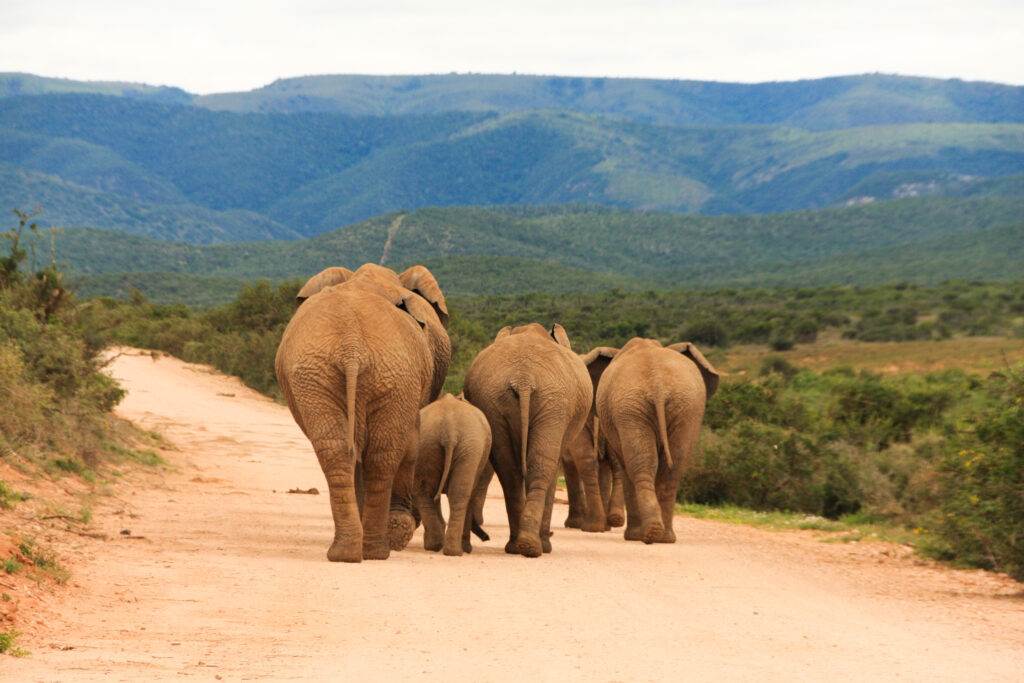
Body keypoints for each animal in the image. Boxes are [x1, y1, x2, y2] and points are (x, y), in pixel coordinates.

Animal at [275, 263, 450, 562]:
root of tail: (352, 348)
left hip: (332, 377)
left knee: (348, 450)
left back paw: (355, 551)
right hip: (345, 374)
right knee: (377, 452)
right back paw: (372, 547)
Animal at [414, 393, 492, 556]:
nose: (486, 538)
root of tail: (449, 431)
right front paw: (467, 548)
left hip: (427, 444)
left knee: (426, 493)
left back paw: (438, 547)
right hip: (468, 447)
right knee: (459, 495)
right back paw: (454, 550)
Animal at [463, 323, 592, 557]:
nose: (485, 538)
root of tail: (523, 378)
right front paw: (546, 545)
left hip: (497, 400)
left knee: (509, 470)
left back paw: (518, 546)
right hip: (553, 403)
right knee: (540, 467)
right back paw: (533, 547)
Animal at [594, 339, 719, 544]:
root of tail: (657, 385)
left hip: (644, 407)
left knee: (644, 467)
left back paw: (646, 535)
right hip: (672, 408)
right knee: (669, 467)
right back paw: (659, 537)